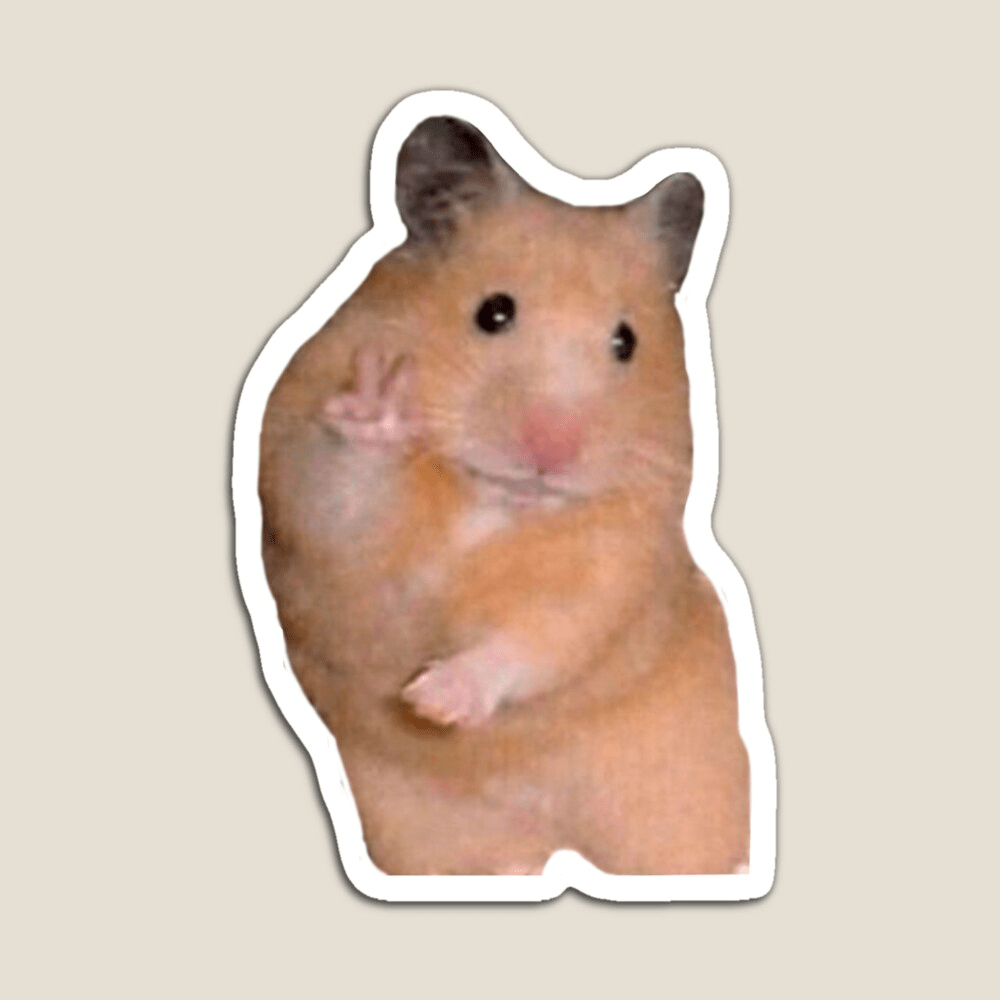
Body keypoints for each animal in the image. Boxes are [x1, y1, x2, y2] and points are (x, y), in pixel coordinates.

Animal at [259, 117, 749, 876]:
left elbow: (538, 638)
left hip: (689, 790)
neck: (493, 503)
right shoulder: (305, 492)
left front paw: (434, 702)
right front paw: (380, 406)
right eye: (492, 313)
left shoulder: (615, 569)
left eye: (626, 341)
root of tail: (550, 837)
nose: (551, 453)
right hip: (421, 836)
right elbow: (344, 492)